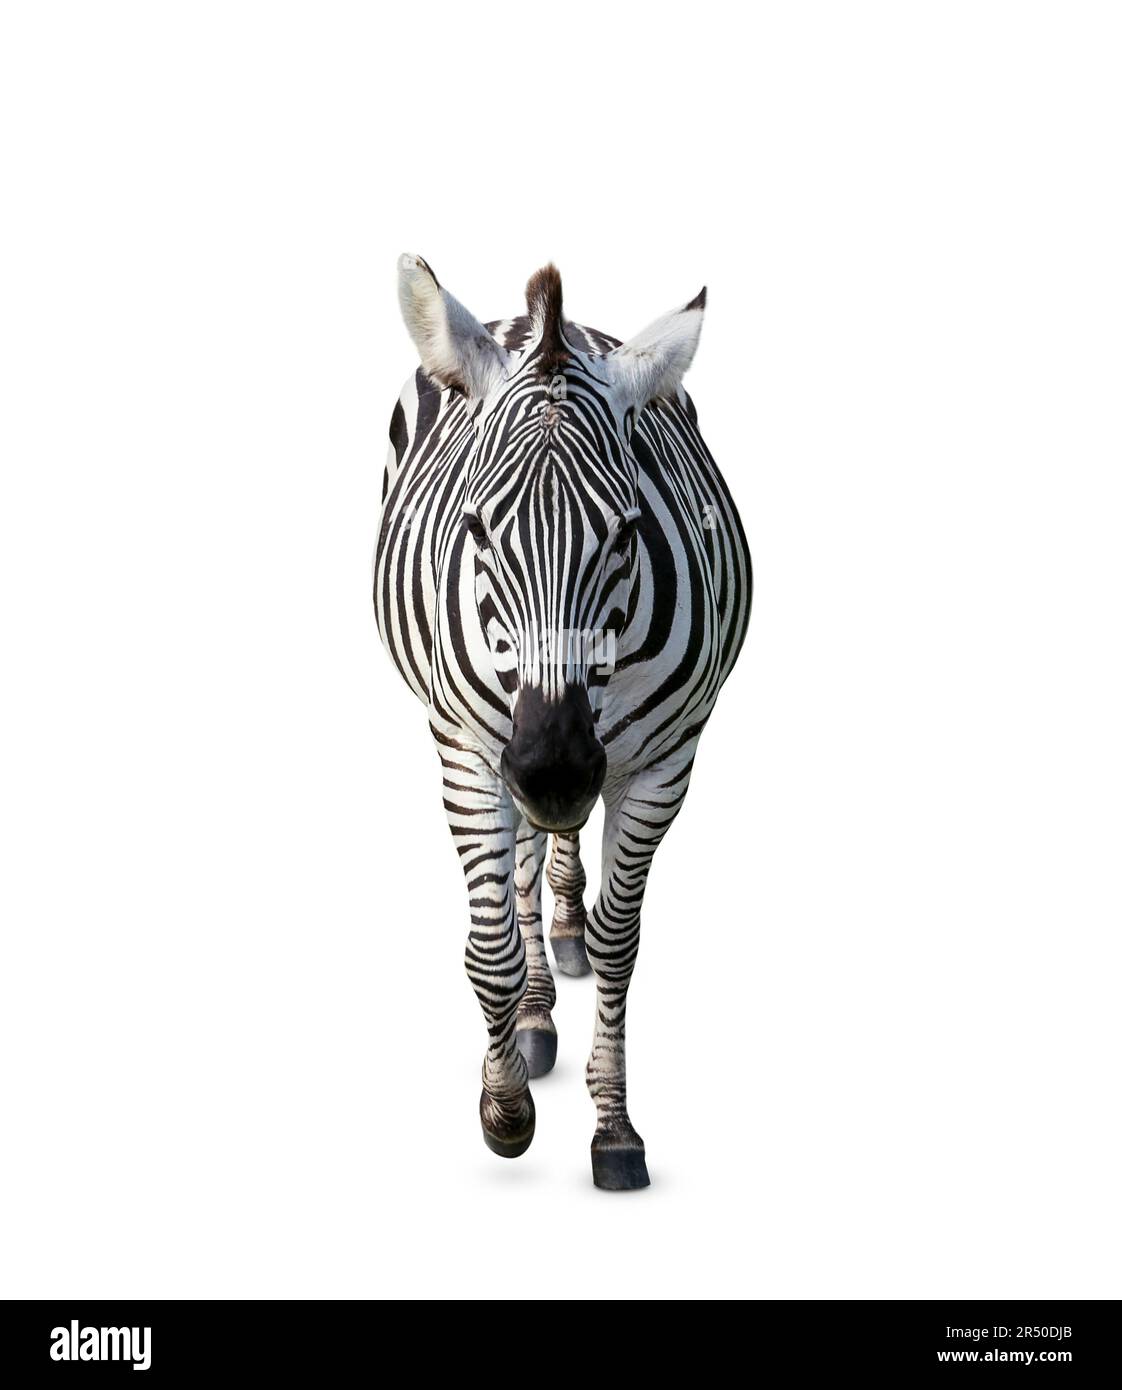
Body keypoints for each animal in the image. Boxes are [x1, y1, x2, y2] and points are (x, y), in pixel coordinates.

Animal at [374, 255, 751, 1189]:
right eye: (475, 528)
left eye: (626, 533)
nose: (553, 769)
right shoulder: (472, 753)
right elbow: (490, 949)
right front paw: (506, 1106)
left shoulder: (664, 763)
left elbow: (620, 943)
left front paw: (613, 1127)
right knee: (519, 869)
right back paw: (537, 1013)